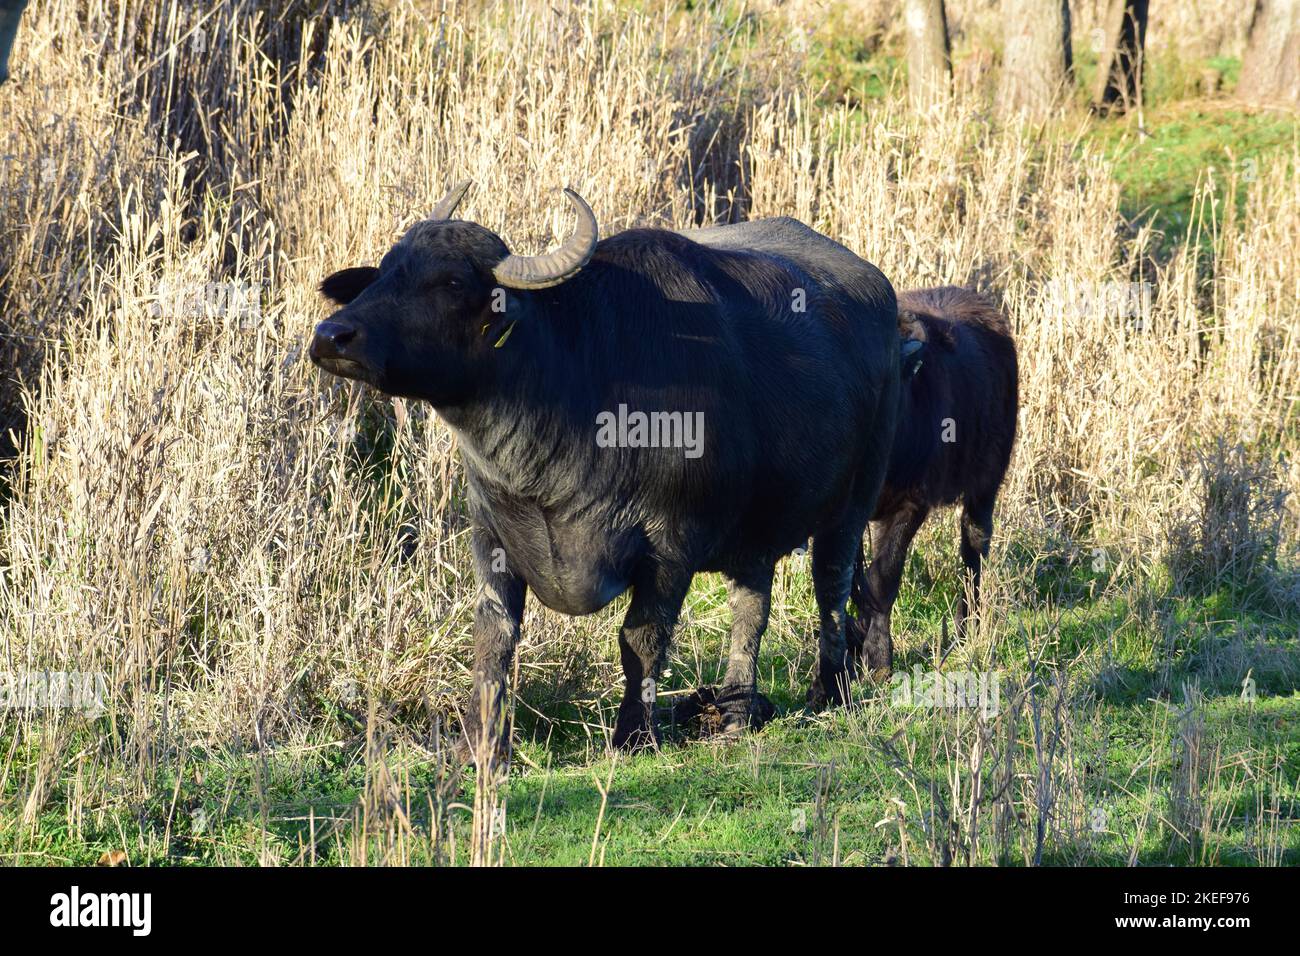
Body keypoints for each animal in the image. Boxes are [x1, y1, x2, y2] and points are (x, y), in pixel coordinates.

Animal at [311, 182, 900, 761]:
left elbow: (640, 638)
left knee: (831, 588)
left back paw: (829, 690)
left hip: (853, 504)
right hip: (754, 530)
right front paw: (482, 744)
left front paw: (635, 734)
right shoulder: (492, 535)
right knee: (751, 606)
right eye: (386, 270)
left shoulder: (672, 546)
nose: (331, 336)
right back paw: (735, 711)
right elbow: (493, 635)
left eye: (451, 282)